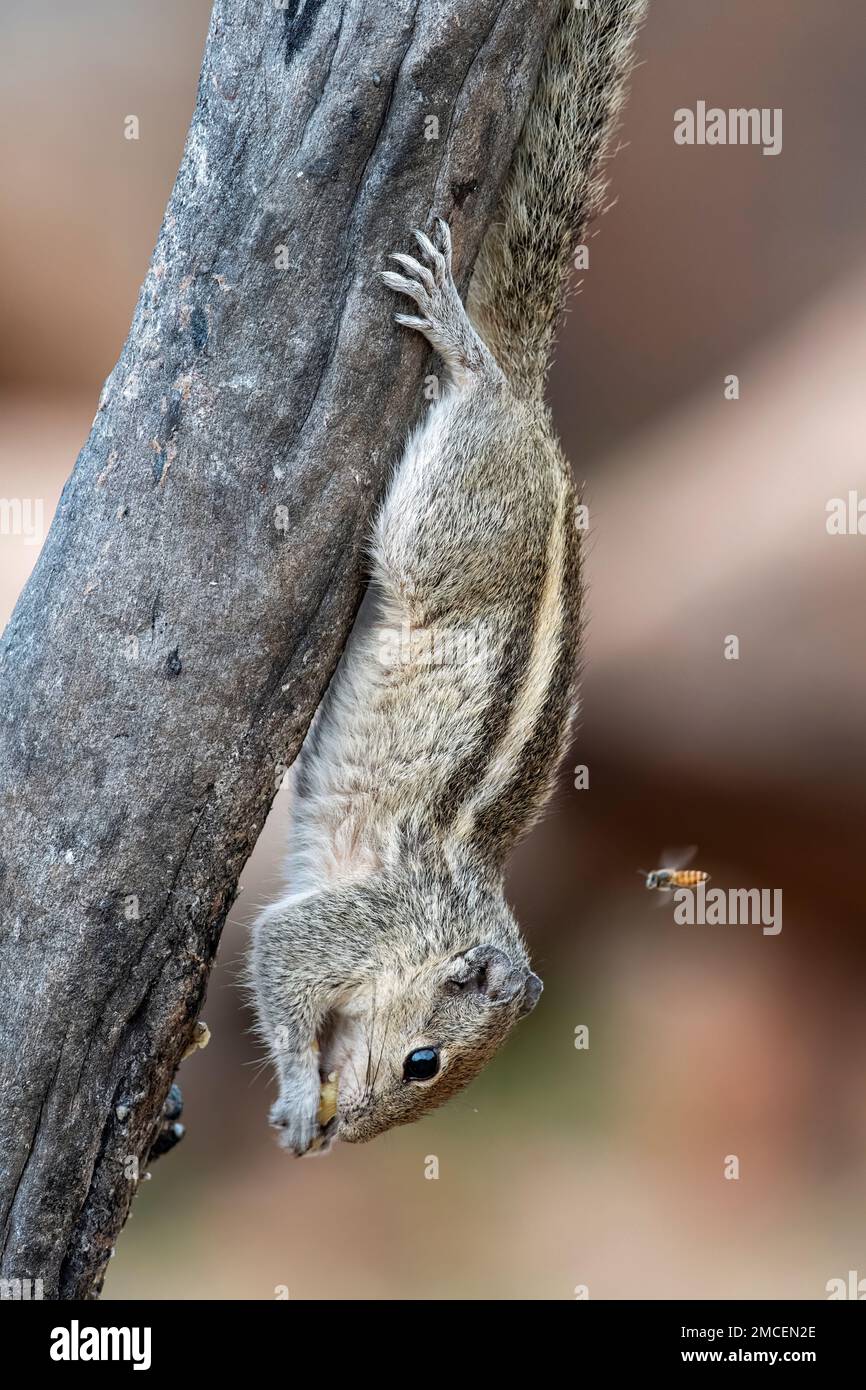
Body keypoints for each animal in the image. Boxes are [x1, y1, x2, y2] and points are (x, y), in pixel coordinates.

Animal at [251, 0, 646, 1155]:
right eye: (421, 1060)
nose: (347, 1131)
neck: (446, 917)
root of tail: (535, 415)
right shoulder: (348, 924)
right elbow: (278, 967)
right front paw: (295, 1091)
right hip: (444, 519)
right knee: (472, 400)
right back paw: (466, 348)